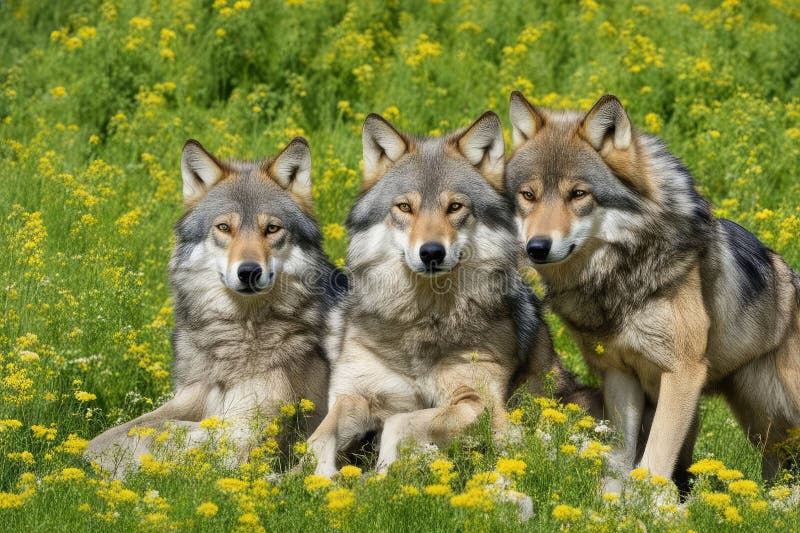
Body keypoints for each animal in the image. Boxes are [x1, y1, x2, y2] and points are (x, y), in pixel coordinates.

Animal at [85, 138, 342, 476]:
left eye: (272, 229)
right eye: (223, 227)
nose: (249, 271)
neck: (233, 337)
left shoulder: (252, 423)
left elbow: (166, 431)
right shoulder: (190, 397)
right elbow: (115, 433)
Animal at [307, 111, 595, 477]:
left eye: (455, 207)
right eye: (405, 207)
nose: (431, 252)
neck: (421, 320)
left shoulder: (477, 402)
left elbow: (399, 423)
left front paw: (381, 477)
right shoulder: (355, 394)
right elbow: (318, 439)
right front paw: (320, 478)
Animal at [506, 90, 800, 487]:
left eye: (578, 194)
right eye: (529, 195)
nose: (536, 247)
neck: (619, 279)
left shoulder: (683, 374)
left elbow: (655, 459)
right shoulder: (619, 373)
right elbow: (624, 454)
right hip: (762, 423)